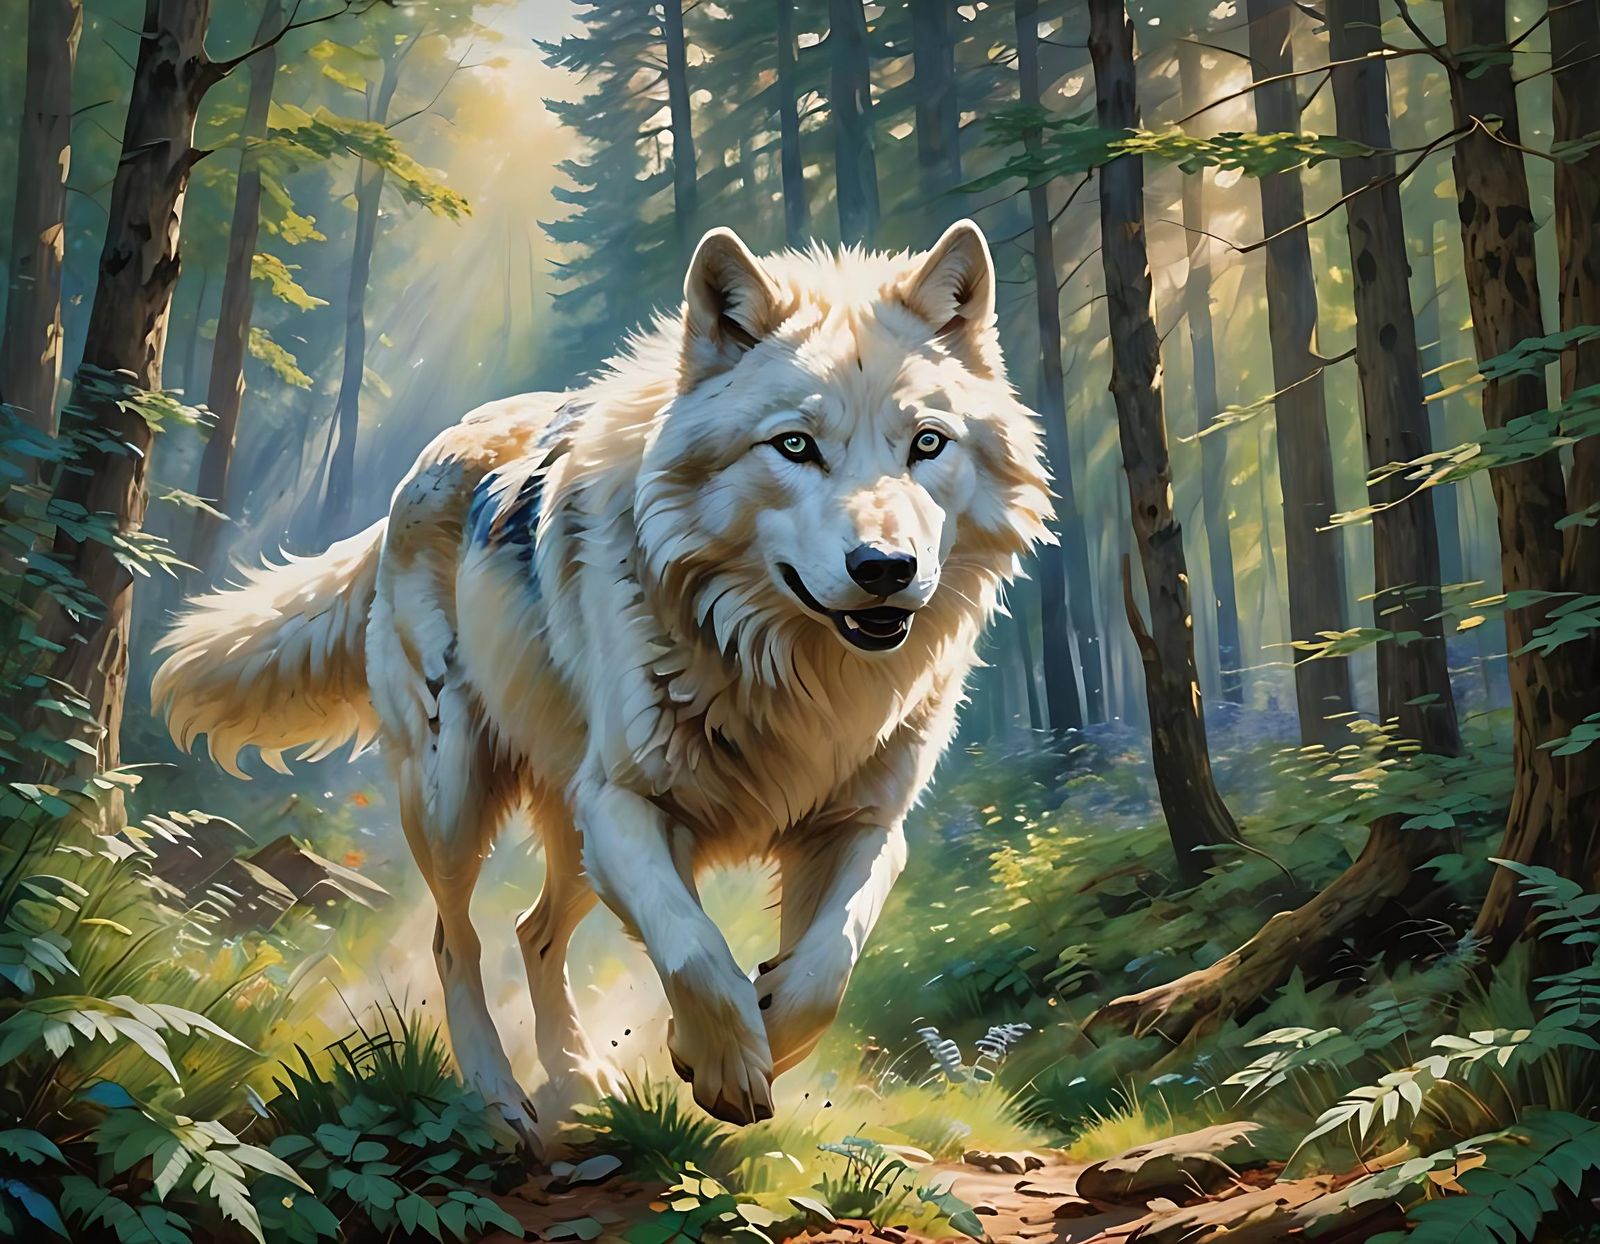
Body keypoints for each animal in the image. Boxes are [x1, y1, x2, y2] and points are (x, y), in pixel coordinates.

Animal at [152, 221, 1050, 1143]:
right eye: (795, 445)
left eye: (927, 443)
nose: (884, 569)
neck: (787, 671)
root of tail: (427, 461)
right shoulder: (623, 802)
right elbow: (693, 947)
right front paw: (721, 1062)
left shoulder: (866, 826)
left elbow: (825, 967)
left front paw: (755, 1039)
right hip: (456, 795)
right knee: (456, 940)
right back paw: (499, 1097)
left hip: (569, 832)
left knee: (532, 931)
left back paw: (578, 1075)